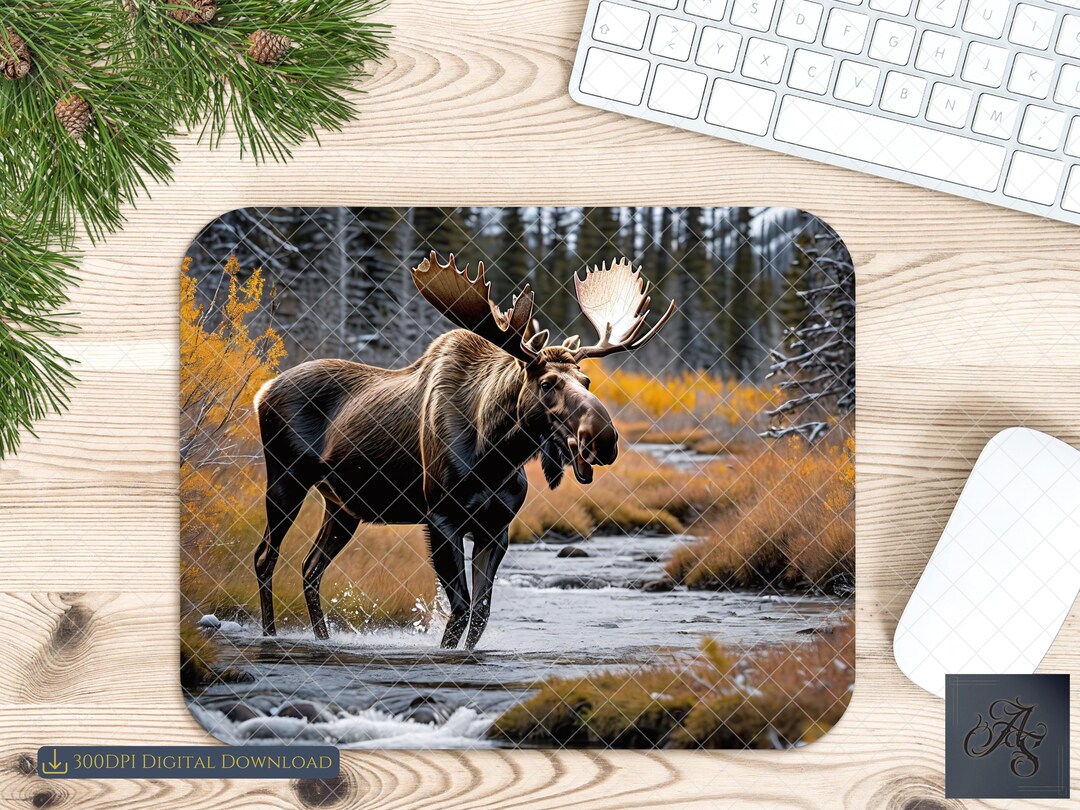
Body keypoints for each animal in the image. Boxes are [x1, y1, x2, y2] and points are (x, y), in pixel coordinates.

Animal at [252, 252, 675, 650]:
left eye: (586, 380)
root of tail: (262, 391)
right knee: (265, 557)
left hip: (342, 506)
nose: (603, 438)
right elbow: (459, 608)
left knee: (310, 568)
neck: (496, 456)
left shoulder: (496, 529)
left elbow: (481, 613)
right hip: (286, 482)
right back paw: (269, 636)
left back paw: (322, 640)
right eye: (547, 383)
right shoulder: (441, 518)